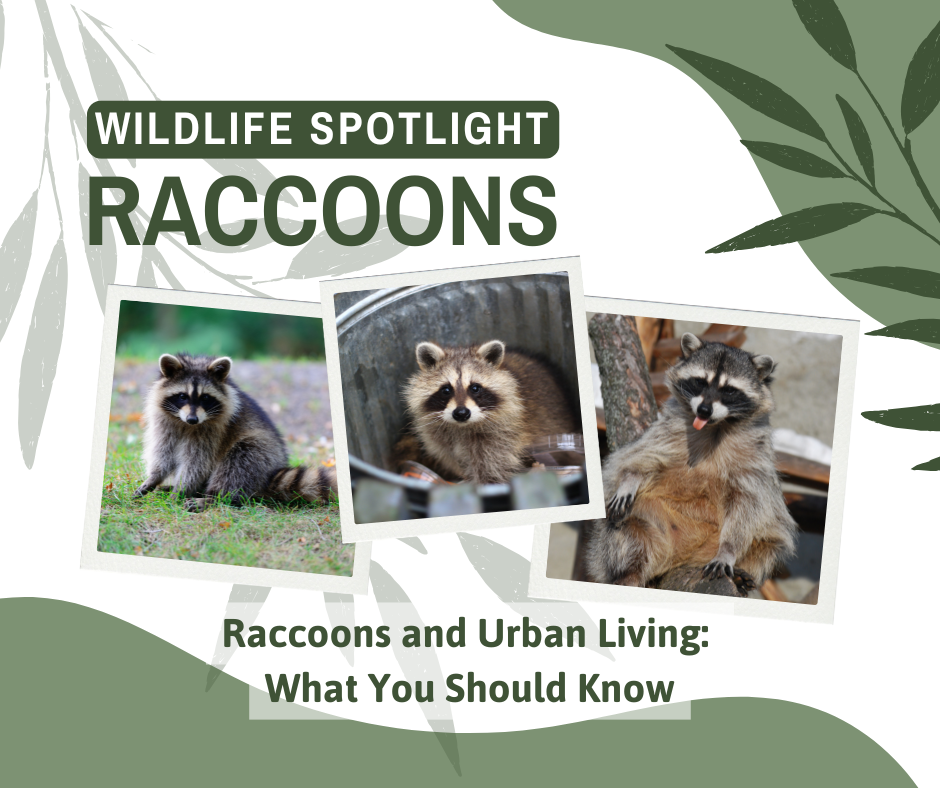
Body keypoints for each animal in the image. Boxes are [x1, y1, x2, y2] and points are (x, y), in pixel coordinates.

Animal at [133, 353, 336, 512]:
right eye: (182, 396)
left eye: (205, 398)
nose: (193, 419)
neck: (185, 424)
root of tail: (271, 473)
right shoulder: (164, 423)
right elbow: (163, 453)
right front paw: (154, 478)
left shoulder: (212, 431)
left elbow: (197, 463)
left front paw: (181, 489)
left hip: (260, 454)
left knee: (238, 463)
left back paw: (213, 498)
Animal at [399, 340, 580, 485]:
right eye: (446, 390)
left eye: (475, 388)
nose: (461, 413)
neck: (462, 427)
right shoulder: (439, 439)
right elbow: (451, 458)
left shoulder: (502, 438)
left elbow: (493, 468)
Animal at [587, 333, 797, 596]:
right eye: (700, 381)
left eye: (729, 390)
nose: (704, 409)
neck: (714, 427)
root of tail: (679, 557)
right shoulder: (667, 432)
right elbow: (637, 457)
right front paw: (630, 479)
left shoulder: (755, 461)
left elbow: (749, 507)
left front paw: (728, 551)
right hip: (646, 526)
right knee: (627, 531)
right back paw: (629, 572)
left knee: (768, 545)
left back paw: (738, 574)